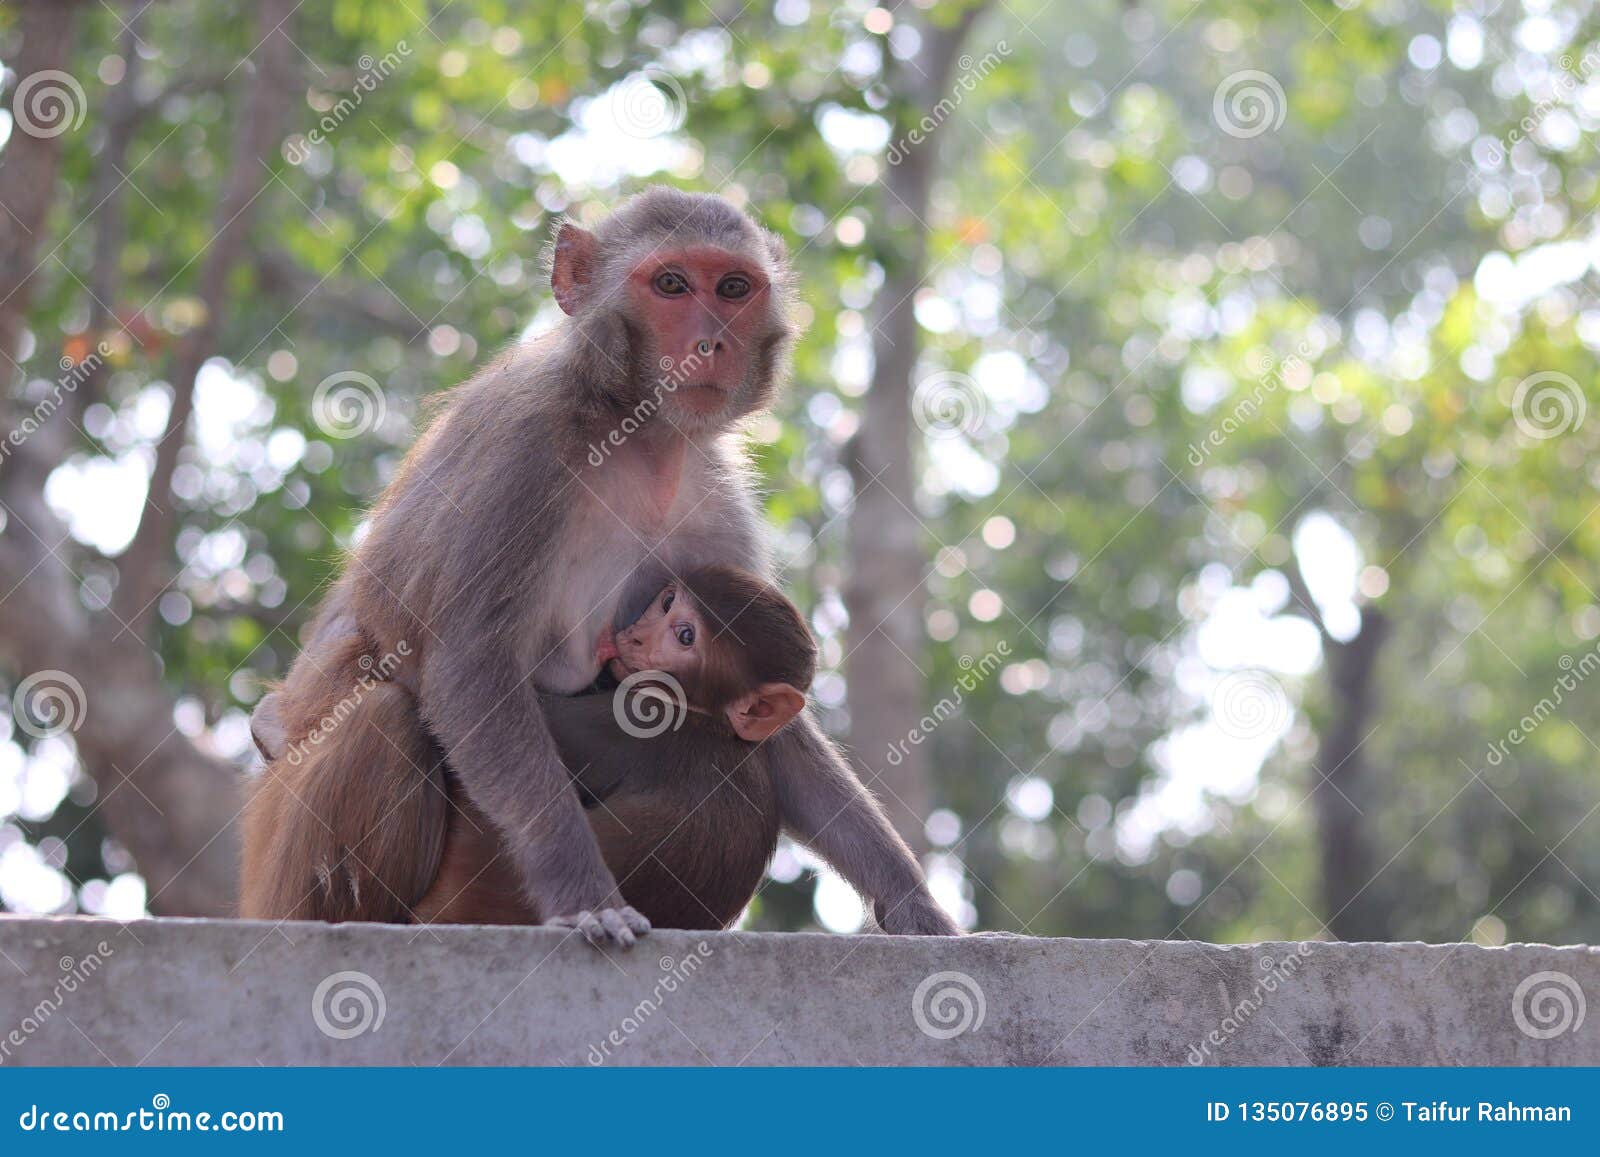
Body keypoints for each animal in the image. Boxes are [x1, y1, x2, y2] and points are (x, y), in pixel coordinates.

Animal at [240, 186, 960, 946]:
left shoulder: (716, 501)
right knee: (384, 714)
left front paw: (911, 899)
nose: (712, 342)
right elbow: (469, 664)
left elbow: (776, 729)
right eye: (671, 284)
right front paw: (583, 893)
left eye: (733, 288)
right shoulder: (524, 444)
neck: (637, 433)